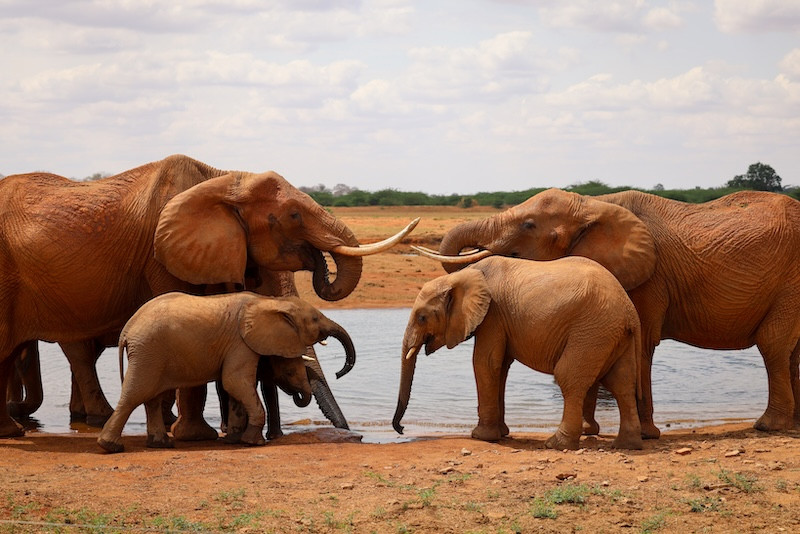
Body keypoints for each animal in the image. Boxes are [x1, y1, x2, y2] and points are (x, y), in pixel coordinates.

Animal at [97, 291, 355, 453]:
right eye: (315, 319)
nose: (338, 373)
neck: (269, 301)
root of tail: (127, 330)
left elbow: (233, 388)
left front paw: (234, 440)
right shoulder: (241, 342)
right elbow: (235, 382)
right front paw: (254, 442)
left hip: (152, 354)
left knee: (151, 398)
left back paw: (161, 444)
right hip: (149, 350)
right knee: (136, 394)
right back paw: (110, 447)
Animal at [392, 256, 643, 450]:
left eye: (422, 317)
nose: (401, 429)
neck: (463, 275)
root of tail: (630, 311)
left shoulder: (492, 315)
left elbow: (485, 362)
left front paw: (481, 436)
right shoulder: (500, 319)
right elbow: (500, 366)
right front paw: (501, 433)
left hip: (591, 331)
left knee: (568, 377)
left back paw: (556, 444)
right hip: (612, 334)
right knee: (622, 383)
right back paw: (627, 445)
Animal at [417, 188, 800, 438]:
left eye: (528, 225)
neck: (593, 205)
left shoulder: (648, 278)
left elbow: (643, 344)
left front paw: (645, 435)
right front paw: (591, 431)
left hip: (791, 282)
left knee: (773, 345)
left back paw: (769, 426)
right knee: (791, 350)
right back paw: (794, 425)